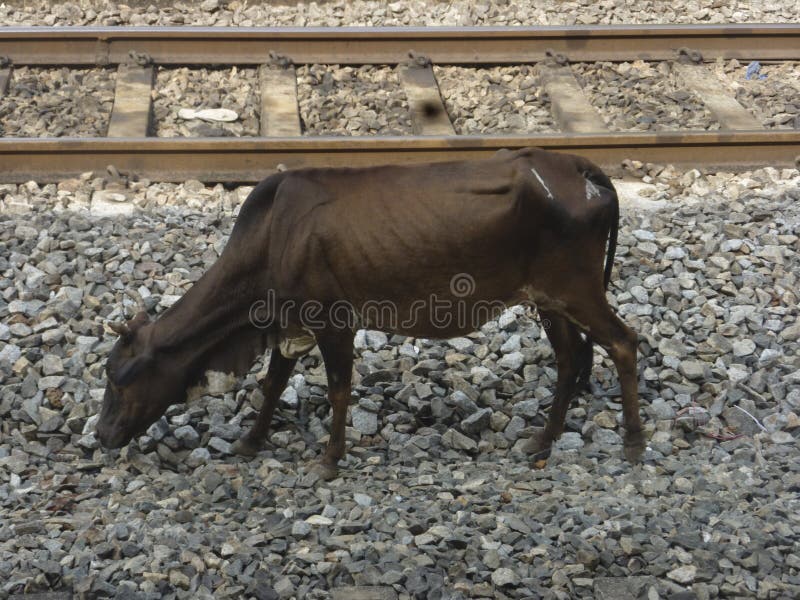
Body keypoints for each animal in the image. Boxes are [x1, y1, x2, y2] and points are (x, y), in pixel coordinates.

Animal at [96, 147, 644, 480]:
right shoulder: (289, 322)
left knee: (623, 343)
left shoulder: (331, 319)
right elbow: (272, 385)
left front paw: (328, 458)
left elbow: (339, 388)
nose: (100, 436)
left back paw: (633, 444)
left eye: (119, 379)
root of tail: (578, 166)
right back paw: (543, 440)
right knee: (572, 361)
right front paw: (251, 442)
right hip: (551, 301)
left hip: (576, 290)